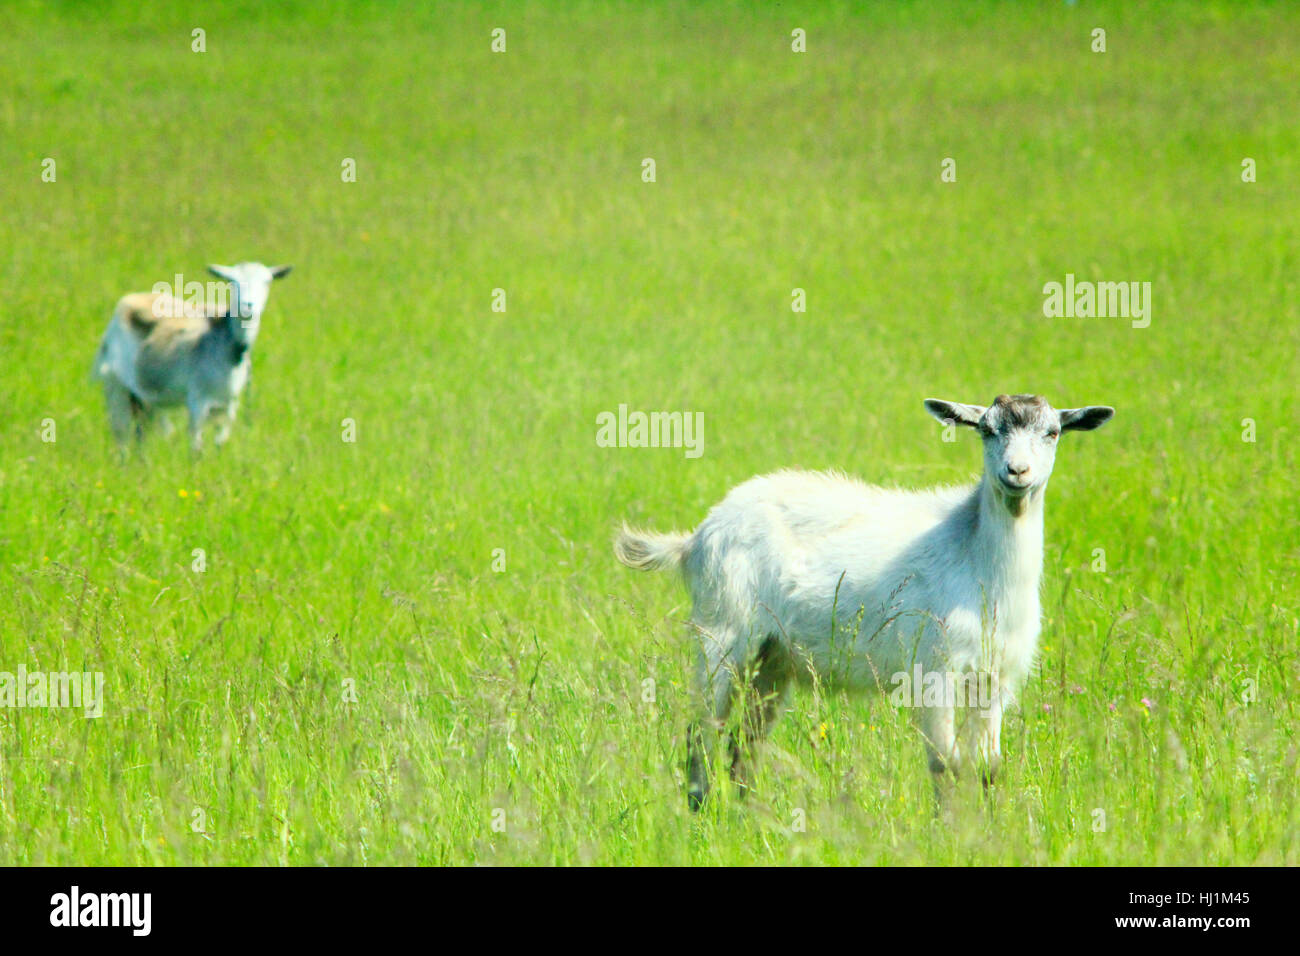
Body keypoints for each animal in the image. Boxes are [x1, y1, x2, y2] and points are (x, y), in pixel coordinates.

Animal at [93, 262, 290, 451]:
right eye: (232, 282)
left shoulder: (229, 404)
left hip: (144, 397)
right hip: (115, 385)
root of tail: (127, 301)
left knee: (140, 435)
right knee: (122, 436)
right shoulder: (197, 400)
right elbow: (196, 448)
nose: (248, 305)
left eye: (267, 281)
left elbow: (220, 444)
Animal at [615, 394, 1114, 809]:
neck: (974, 552)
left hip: (772, 658)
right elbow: (945, 764)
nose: (1016, 473)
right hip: (721, 631)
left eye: (1053, 432)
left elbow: (986, 769)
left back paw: (748, 820)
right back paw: (700, 815)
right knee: (702, 732)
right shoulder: (933, 668)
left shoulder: (995, 677)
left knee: (745, 744)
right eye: (986, 430)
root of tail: (697, 536)